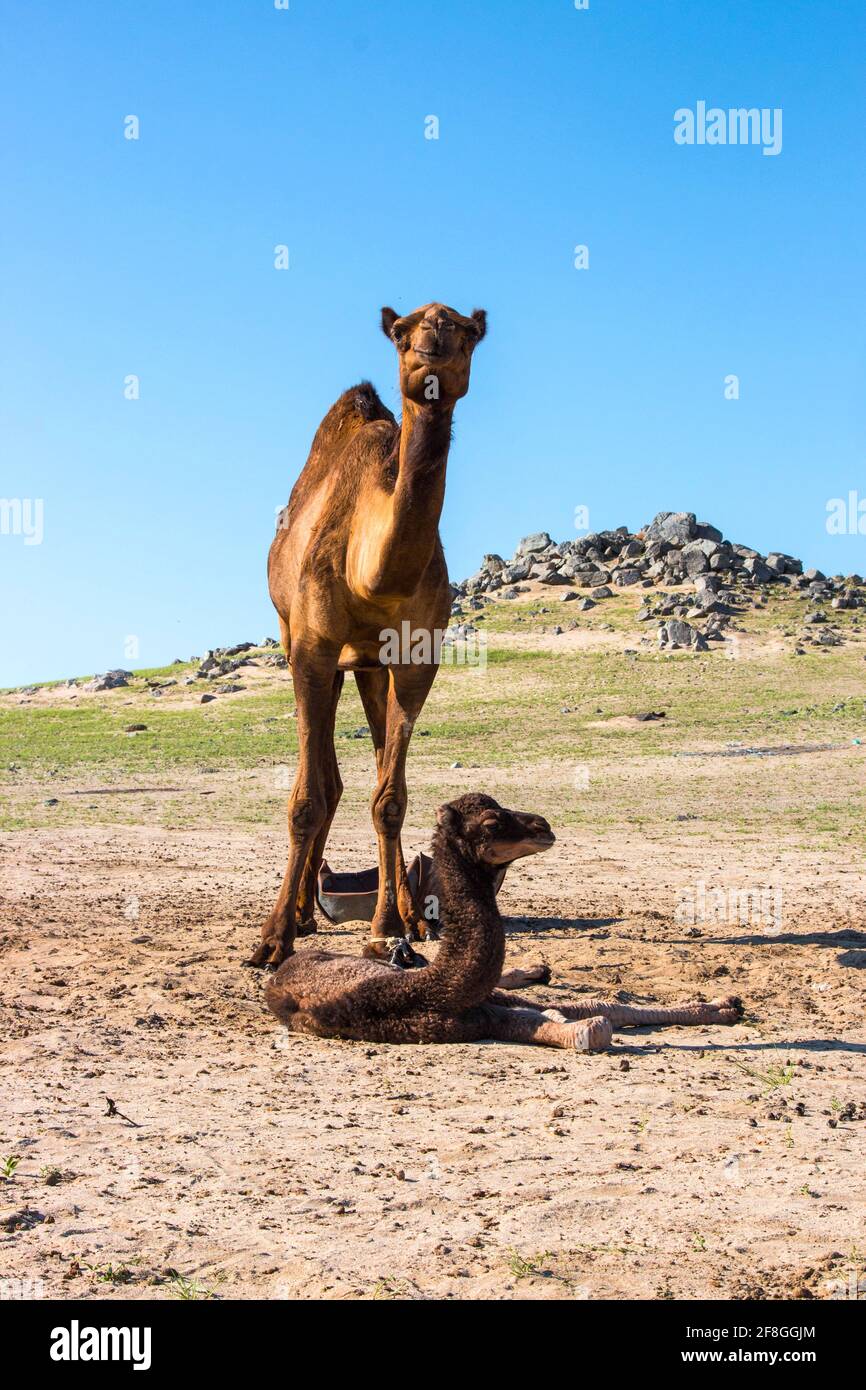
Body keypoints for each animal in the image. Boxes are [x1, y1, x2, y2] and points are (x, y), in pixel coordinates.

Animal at [249, 302, 487, 968]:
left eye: (466, 332)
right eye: (404, 333)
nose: (432, 347)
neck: (371, 570)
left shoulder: (416, 656)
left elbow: (390, 798)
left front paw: (388, 930)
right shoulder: (312, 647)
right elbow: (306, 797)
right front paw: (271, 940)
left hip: (369, 666)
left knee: (368, 767)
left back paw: (400, 915)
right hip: (303, 642)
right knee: (323, 780)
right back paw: (300, 916)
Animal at [266, 794, 744, 1051]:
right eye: (493, 822)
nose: (544, 826)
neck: (429, 990)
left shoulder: (481, 1005)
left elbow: (602, 1005)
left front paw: (724, 1005)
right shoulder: (471, 1020)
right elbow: (590, 1027)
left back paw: (536, 968)